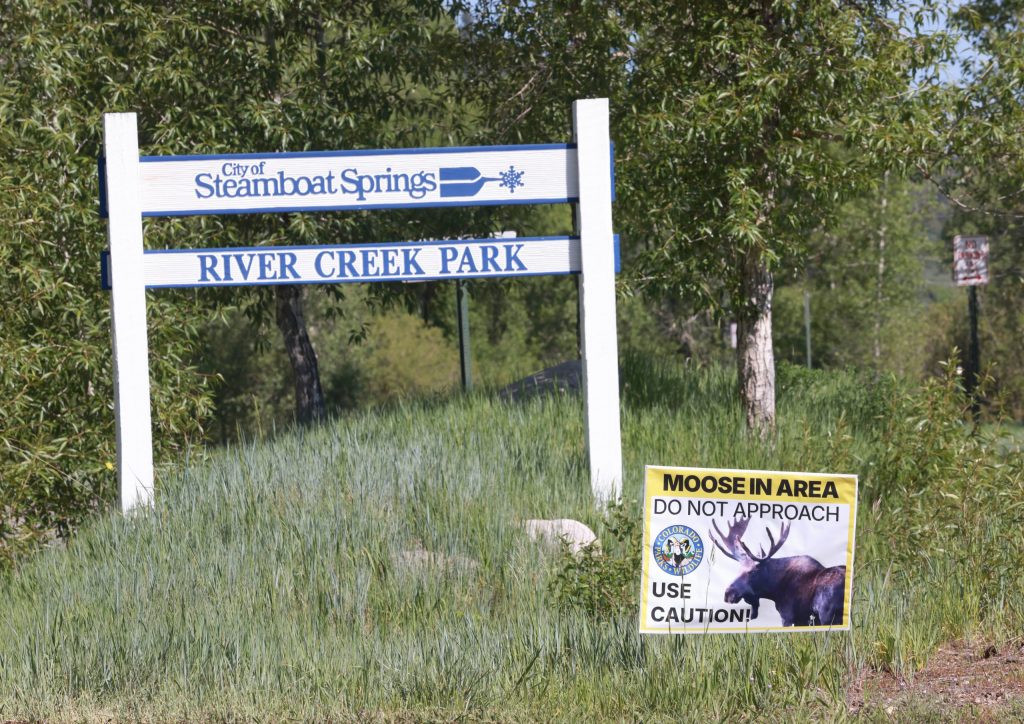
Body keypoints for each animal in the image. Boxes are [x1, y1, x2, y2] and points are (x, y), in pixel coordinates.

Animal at [708, 517, 846, 627]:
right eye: (738, 569)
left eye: (753, 571)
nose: (728, 594)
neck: (774, 589)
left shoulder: (788, 616)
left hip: (827, 616)